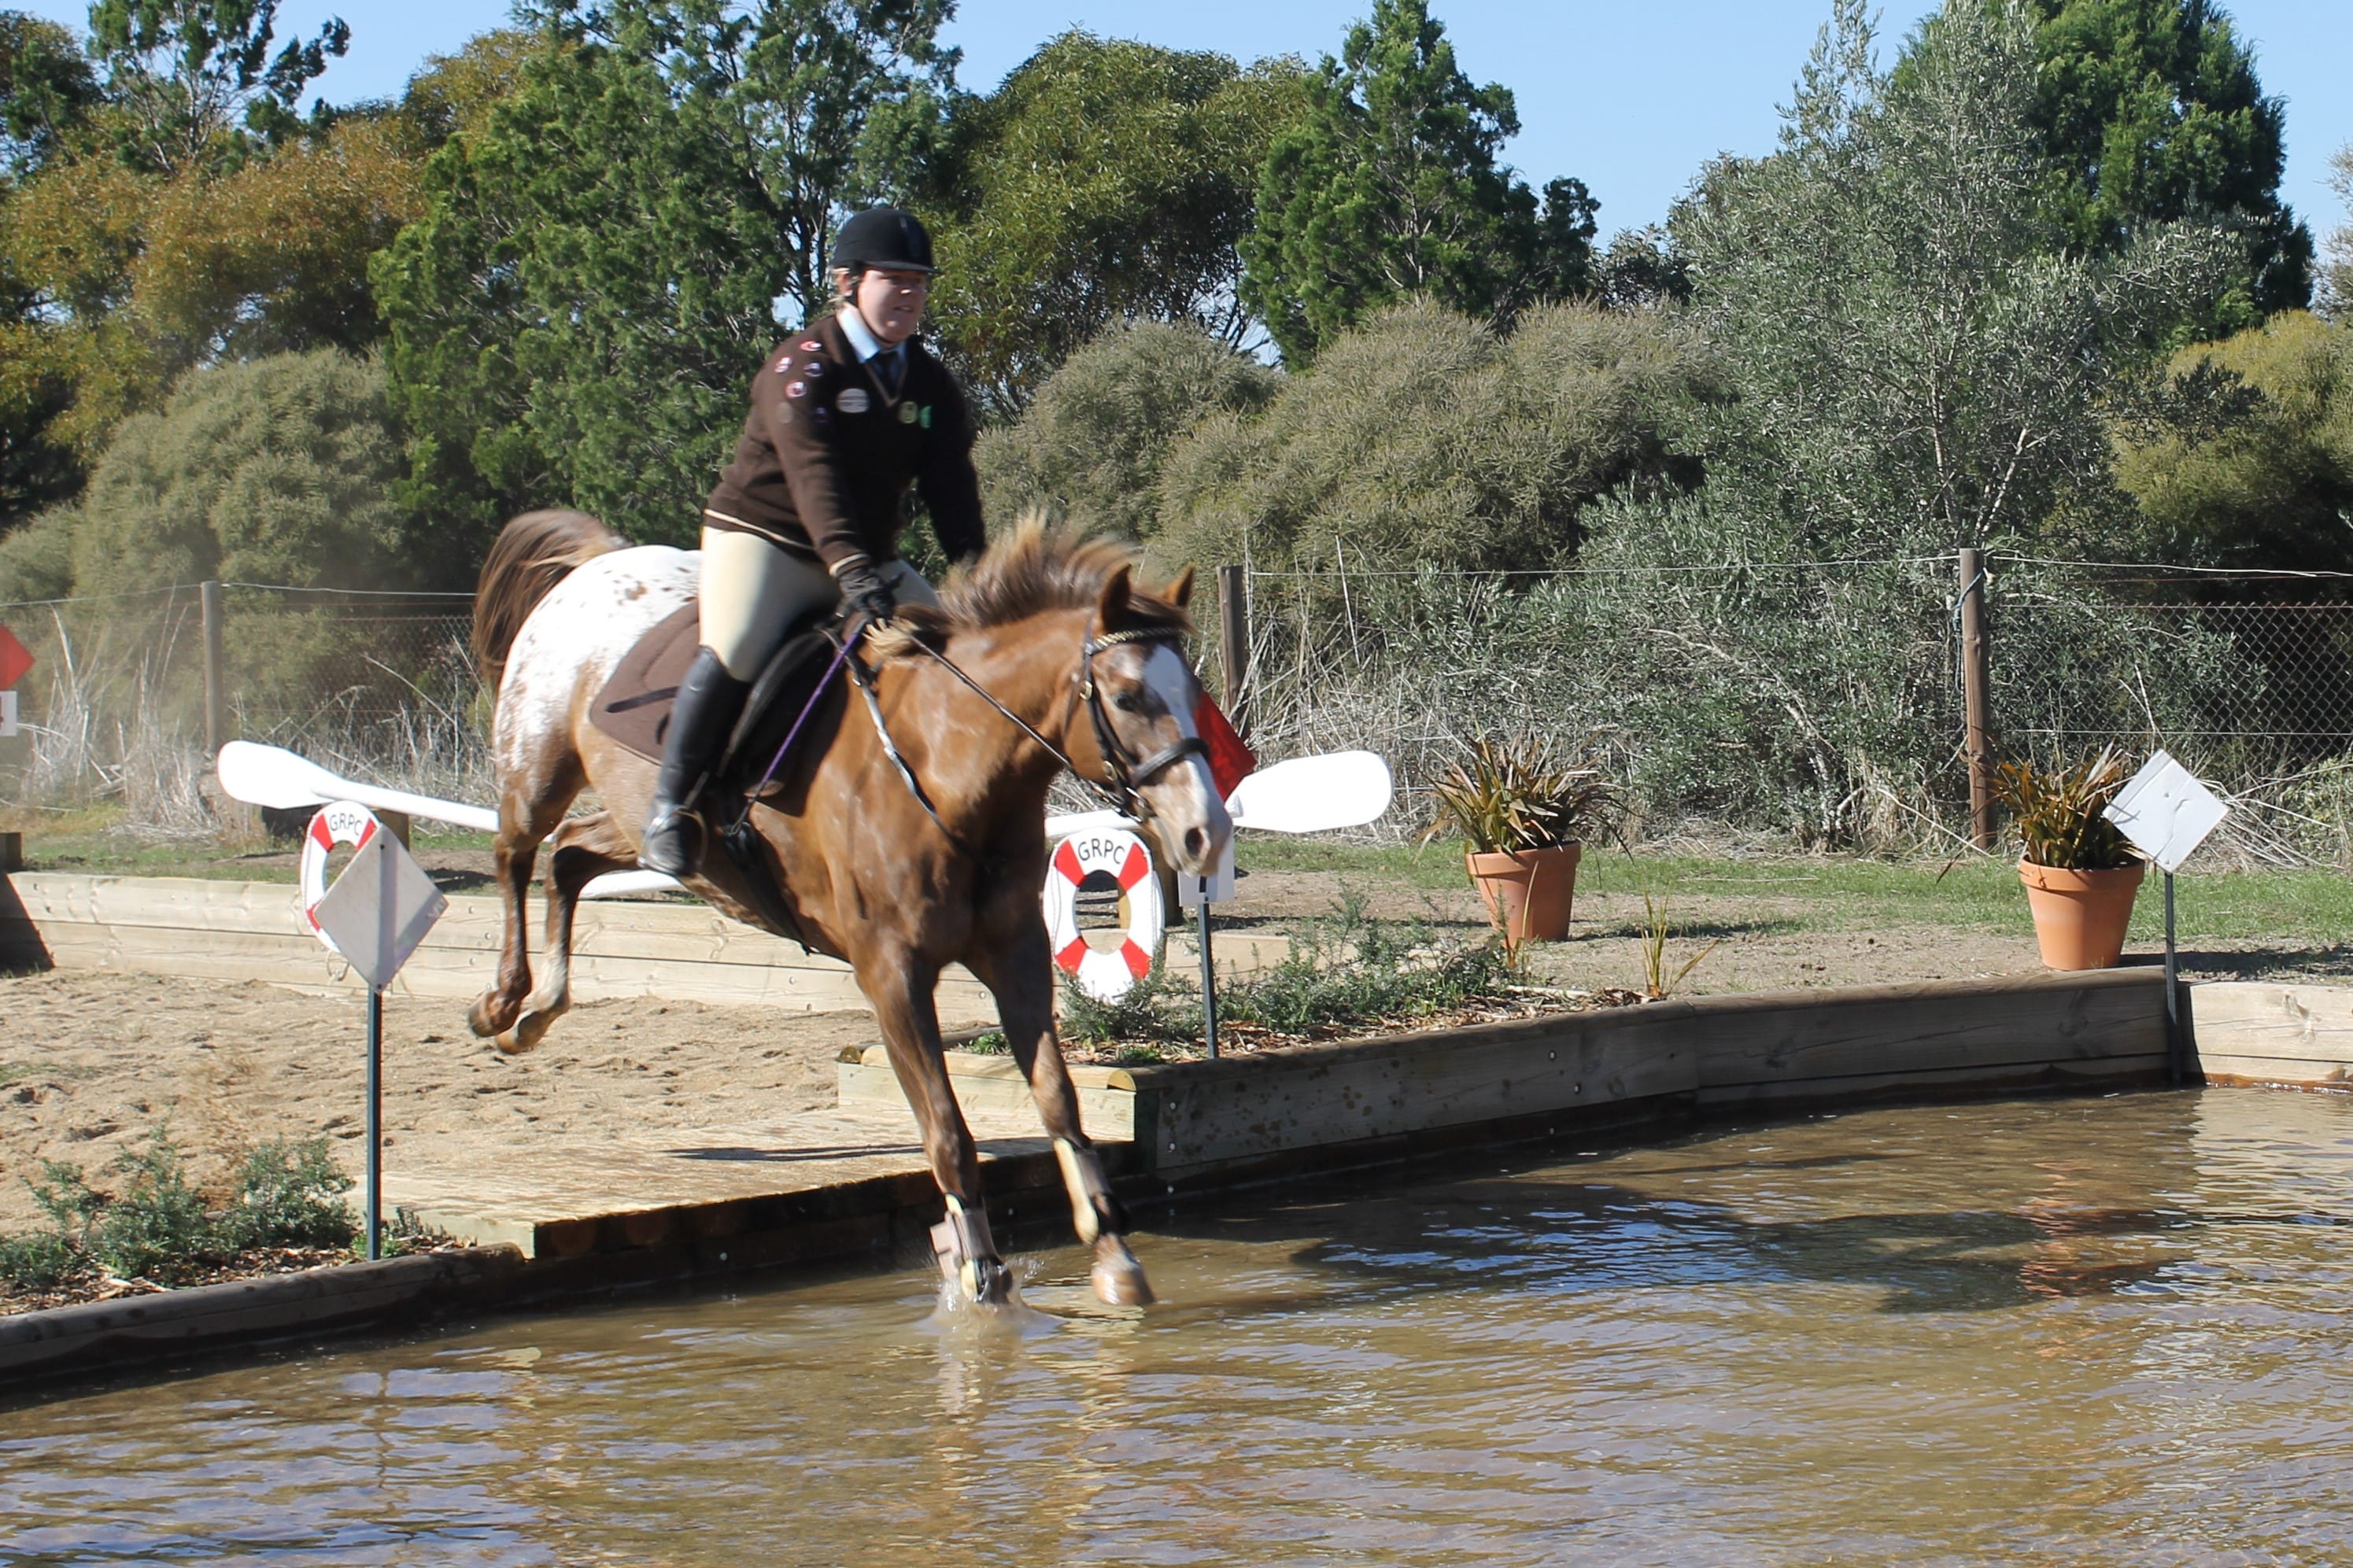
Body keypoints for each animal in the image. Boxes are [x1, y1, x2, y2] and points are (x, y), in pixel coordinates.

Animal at [464, 510, 1233, 1308]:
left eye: (1190, 689)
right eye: (1129, 697)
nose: (1205, 833)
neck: (948, 766)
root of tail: (602, 563)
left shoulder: (1015, 953)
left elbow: (1058, 1098)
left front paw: (1115, 1256)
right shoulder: (892, 974)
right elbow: (947, 1132)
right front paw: (981, 1277)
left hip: (640, 822)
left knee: (571, 856)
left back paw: (539, 1010)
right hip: (539, 763)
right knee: (517, 849)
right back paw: (502, 1002)